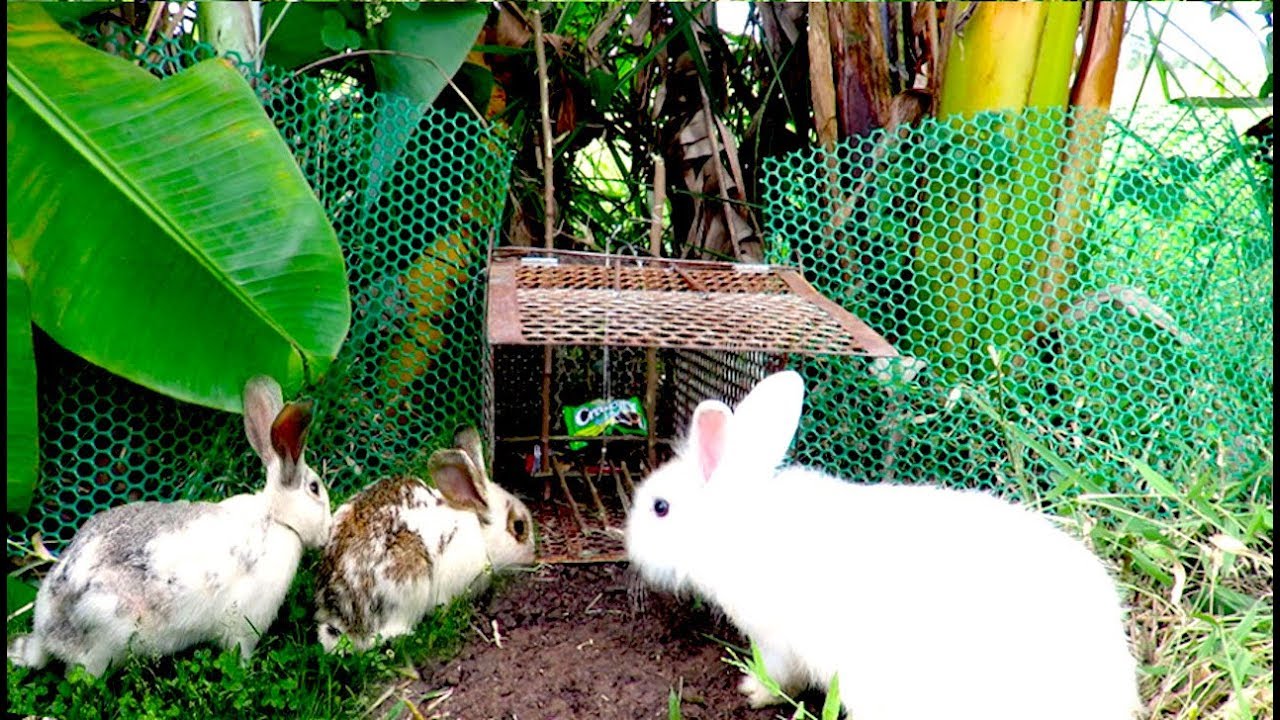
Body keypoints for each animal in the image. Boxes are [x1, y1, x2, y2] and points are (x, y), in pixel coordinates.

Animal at [7, 376, 333, 678]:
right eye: (315, 489)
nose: (328, 532)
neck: (276, 518)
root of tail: (46, 633)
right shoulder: (244, 627)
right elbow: (240, 654)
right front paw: (247, 673)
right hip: (104, 644)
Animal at [625, 371, 1142, 720]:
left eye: (660, 508)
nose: (629, 547)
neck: (733, 526)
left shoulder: (777, 643)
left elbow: (779, 675)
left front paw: (752, 691)